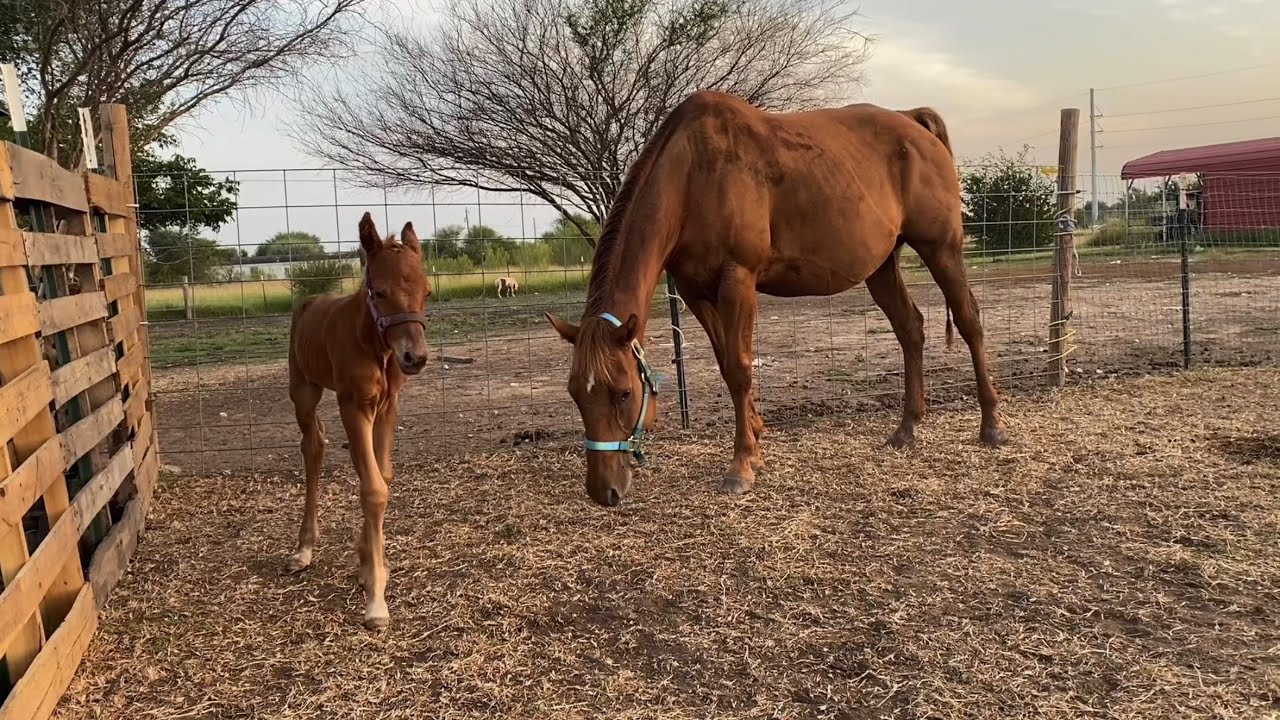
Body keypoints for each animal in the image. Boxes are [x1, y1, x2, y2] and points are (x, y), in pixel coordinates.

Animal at [285, 211, 432, 629]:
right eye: (379, 292)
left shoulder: (387, 406)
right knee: (312, 447)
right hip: (303, 390)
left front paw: (369, 565)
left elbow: (381, 477)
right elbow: (373, 489)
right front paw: (376, 601)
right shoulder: (354, 405)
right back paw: (303, 548)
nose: (415, 358)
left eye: (427, 292)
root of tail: (310, 302)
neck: (375, 345)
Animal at [545, 90, 1008, 507]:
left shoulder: (738, 279)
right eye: (575, 393)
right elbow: (726, 364)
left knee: (969, 321)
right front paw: (756, 437)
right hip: (882, 267)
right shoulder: (696, 292)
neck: (694, 174)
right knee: (910, 329)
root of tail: (913, 121)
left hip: (941, 249)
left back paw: (991, 425)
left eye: (623, 393)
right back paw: (906, 429)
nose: (604, 491)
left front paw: (742, 464)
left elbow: (739, 368)